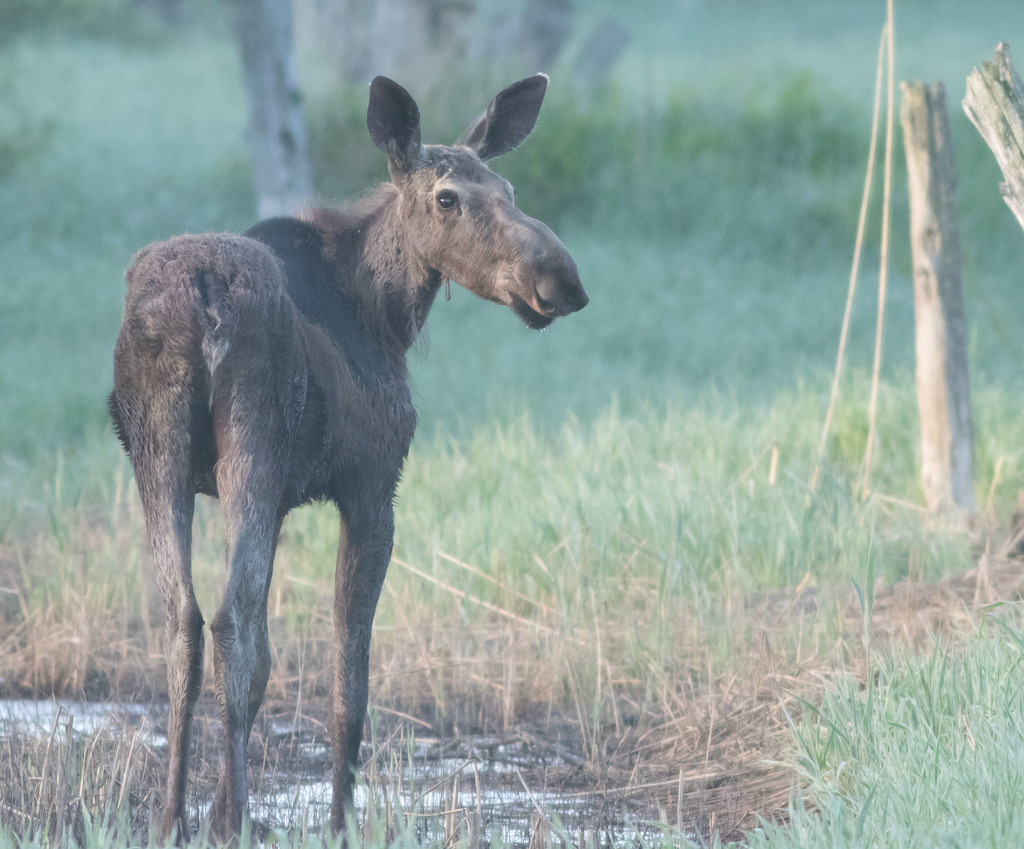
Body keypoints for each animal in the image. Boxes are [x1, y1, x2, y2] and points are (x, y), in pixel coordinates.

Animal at [108, 73, 588, 842]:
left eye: (509, 188)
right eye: (448, 197)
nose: (561, 280)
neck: (387, 310)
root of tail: (201, 296)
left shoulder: (274, 500)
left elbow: (270, 666)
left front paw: (217, 810)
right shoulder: (371, 489)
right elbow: (349, 688)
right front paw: (338, 823)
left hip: (159, 454)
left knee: (185, 618)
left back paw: (172, 817)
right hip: (255, 444)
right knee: (231, 620)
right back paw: (237, 820)